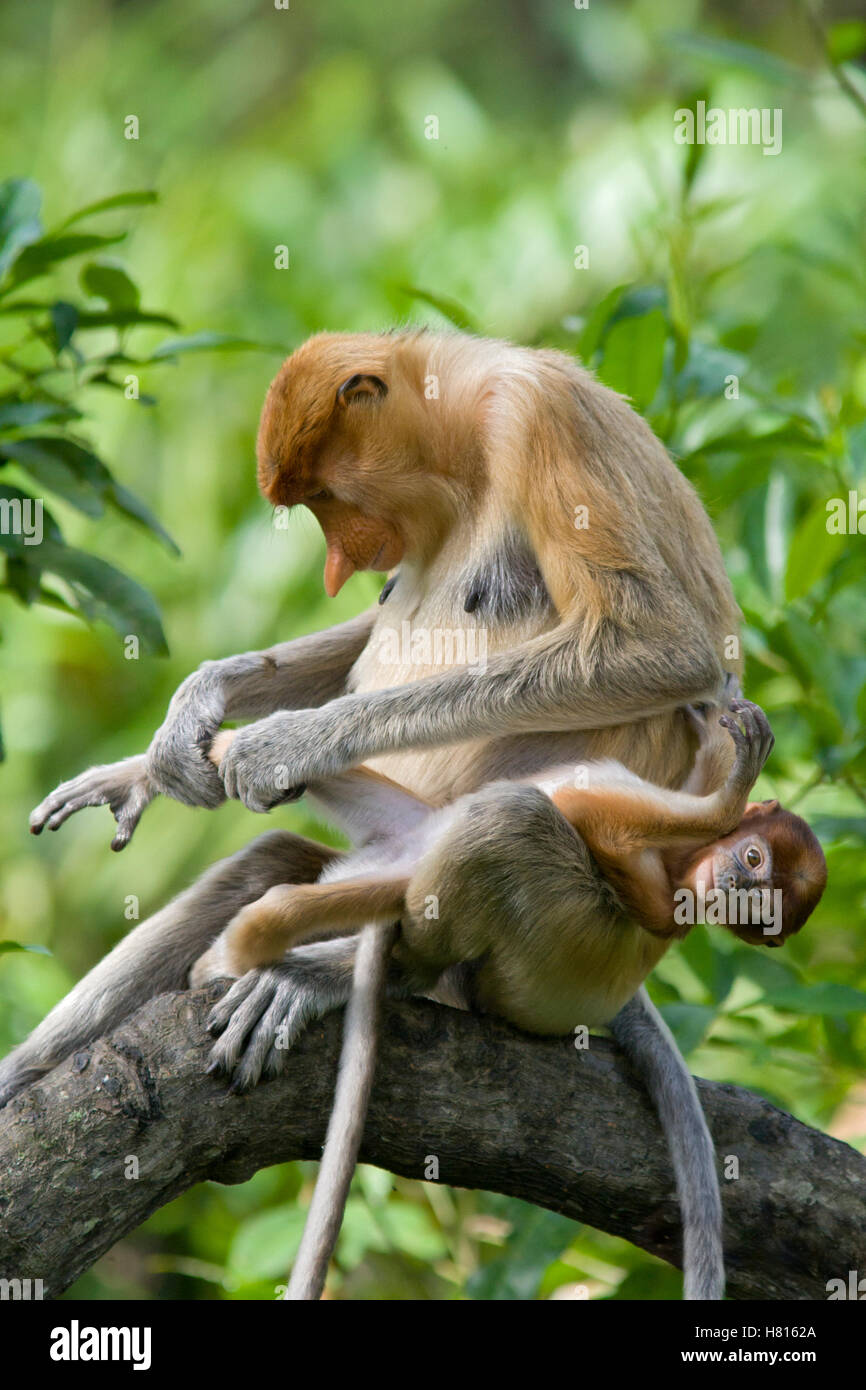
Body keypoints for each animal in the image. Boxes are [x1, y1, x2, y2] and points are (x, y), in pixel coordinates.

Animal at [3, 329, 743, 1298]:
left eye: (324, 498)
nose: (336, 562)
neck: (467, 437)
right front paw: (175, 737)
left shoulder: (542, 419)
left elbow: (662, 646)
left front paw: (280, 745)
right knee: (271, 862)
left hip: (568, 938)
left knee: (497, 834)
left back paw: (321, 976)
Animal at [188, 697, 825, 1299]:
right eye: (753, 860)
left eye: (760, 913)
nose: (733, 887)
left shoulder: (642, 860)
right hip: (409, 830)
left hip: (514, 966)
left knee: (507, 825)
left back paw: (277, 946)